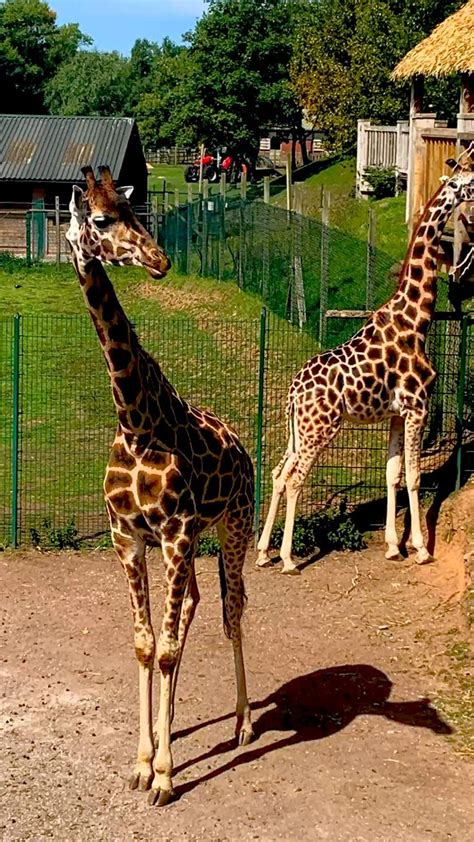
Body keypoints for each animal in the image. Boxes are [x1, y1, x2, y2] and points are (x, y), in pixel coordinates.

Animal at [66, 165, 254, 806]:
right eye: (101, 219)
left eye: (133, 209)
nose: (159, 259)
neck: (136, 420)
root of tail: (245, 449)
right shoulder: (130, 538)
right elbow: (149, 644)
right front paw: (143, 761)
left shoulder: (173, 533)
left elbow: (168, 645)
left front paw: (167, 775)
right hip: (193, 541)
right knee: (192, 606)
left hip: (232, 526)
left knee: (231, 610)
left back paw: (244, 723)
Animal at [257, 168, 474, 574]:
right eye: (467, 183)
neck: (415, 319)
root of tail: (294, 392)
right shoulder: (418, 406)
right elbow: (415, 478)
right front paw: (420, 548)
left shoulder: (396, 413)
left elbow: (392, 474)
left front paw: (392, 546)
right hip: (320, 428)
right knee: (294, 479)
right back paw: (288, 558)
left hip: (299, 430)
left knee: (278, 474)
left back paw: (263, 552)